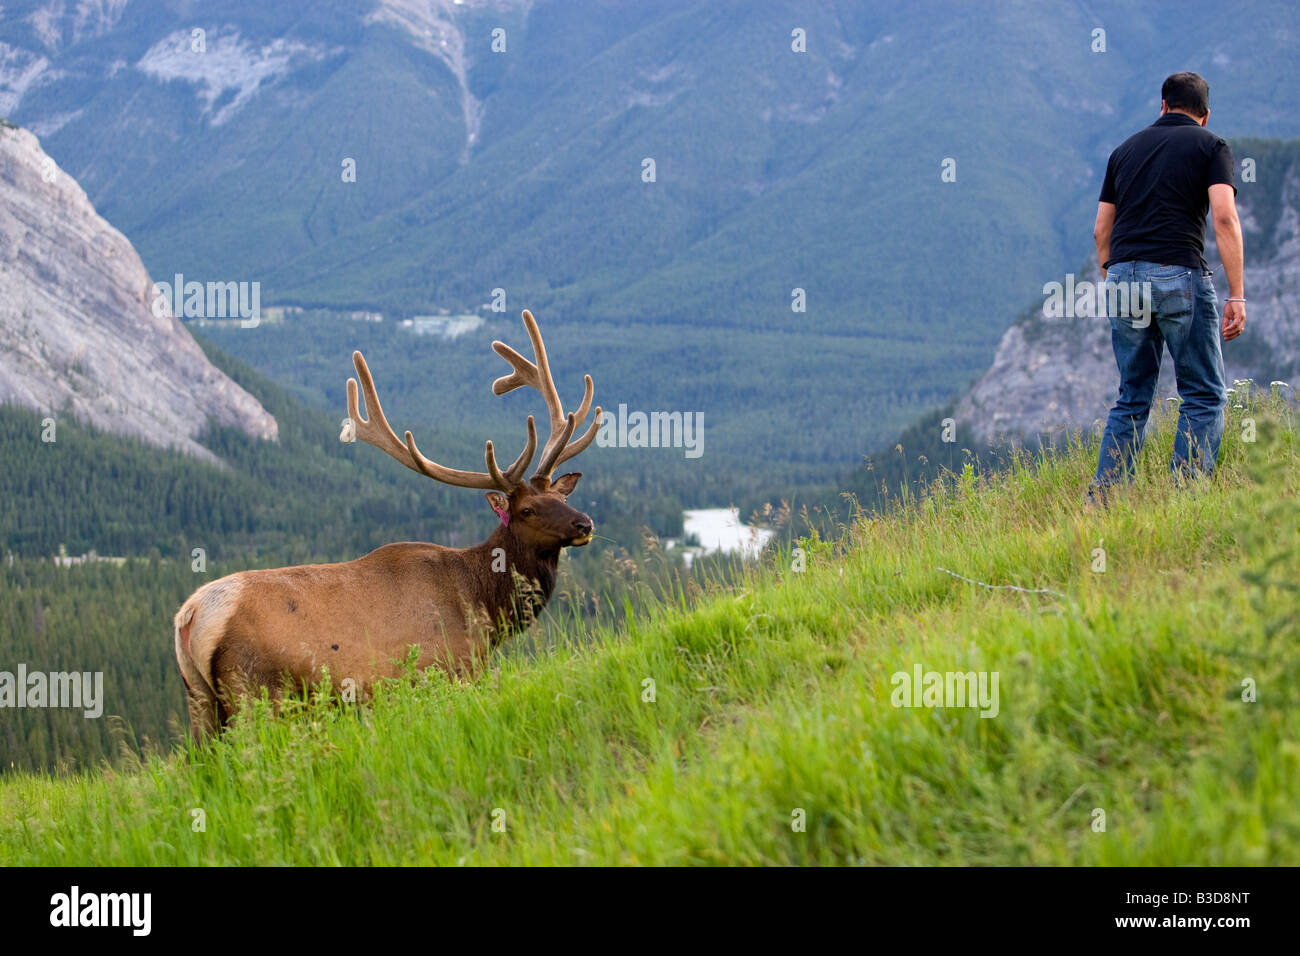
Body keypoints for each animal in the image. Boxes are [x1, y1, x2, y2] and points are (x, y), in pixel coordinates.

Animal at [173, 310, 601, 739]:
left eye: (562, 497)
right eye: (527, 510)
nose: (584, 523)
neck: (482, 605)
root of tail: (189, 615)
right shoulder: (446, 670)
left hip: (200, 701)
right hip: (252, 693)